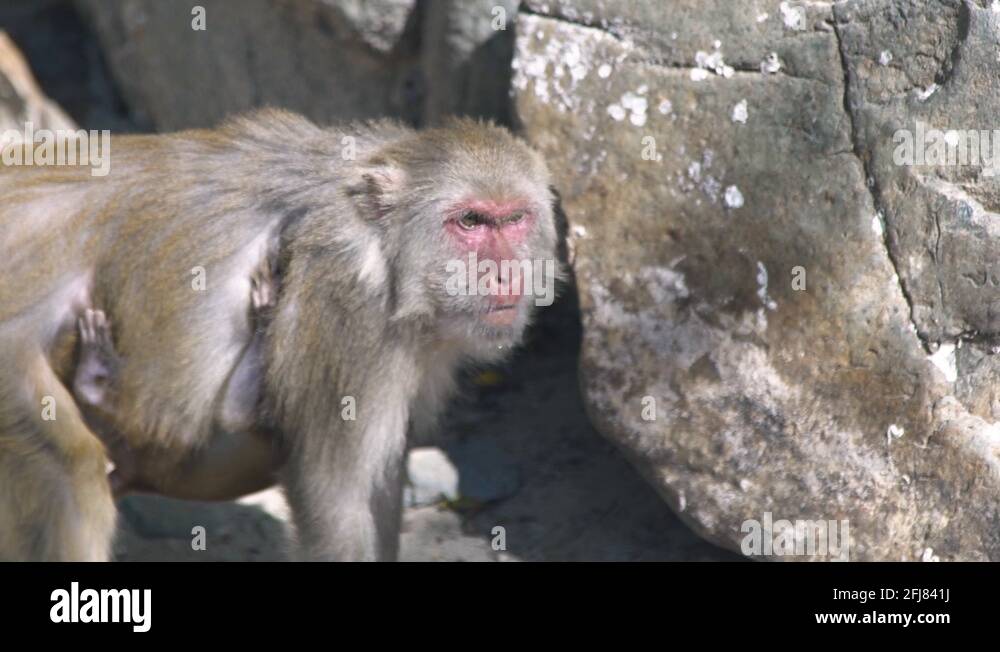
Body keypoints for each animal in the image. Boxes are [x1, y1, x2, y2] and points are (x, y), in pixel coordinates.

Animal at [0, 108, 559, 561]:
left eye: (514, 219)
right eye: (470, 221)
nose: (505, 274)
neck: (386, 253)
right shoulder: (347, 309)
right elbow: (337, 504)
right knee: (70, 474)